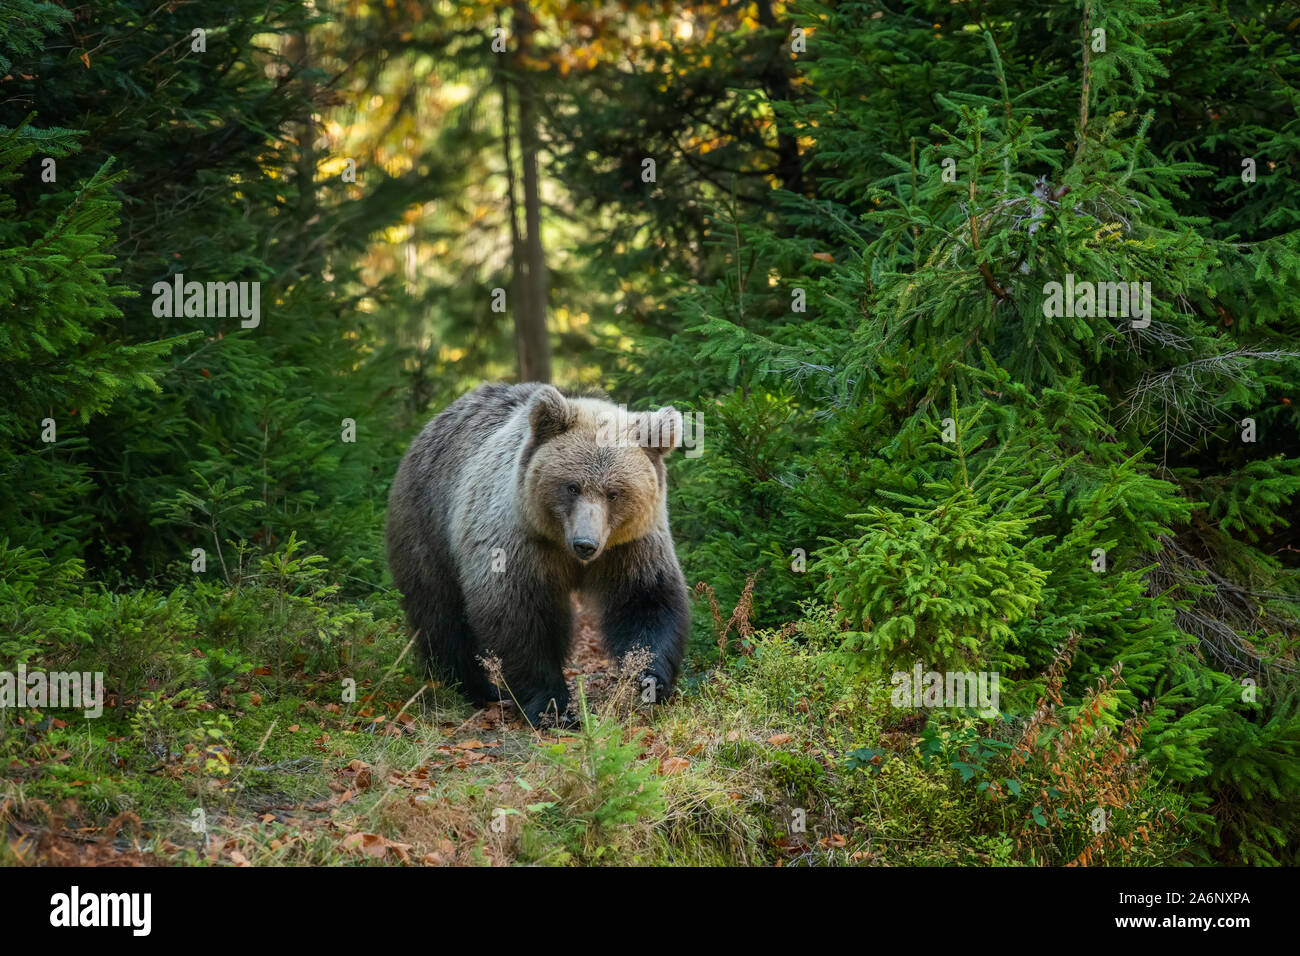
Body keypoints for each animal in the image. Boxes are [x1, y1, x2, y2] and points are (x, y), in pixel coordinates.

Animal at [385, 382, 690, 725]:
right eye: (572, 486)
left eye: (614, 493)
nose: (585, 543)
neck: (564, 547)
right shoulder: (519, 542)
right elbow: (520, 615)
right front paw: (553, 707)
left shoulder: (630, 545)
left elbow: (646, 600)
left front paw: (650, 680)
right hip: (428, 525)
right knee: (440, 611)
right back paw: (472, 686)